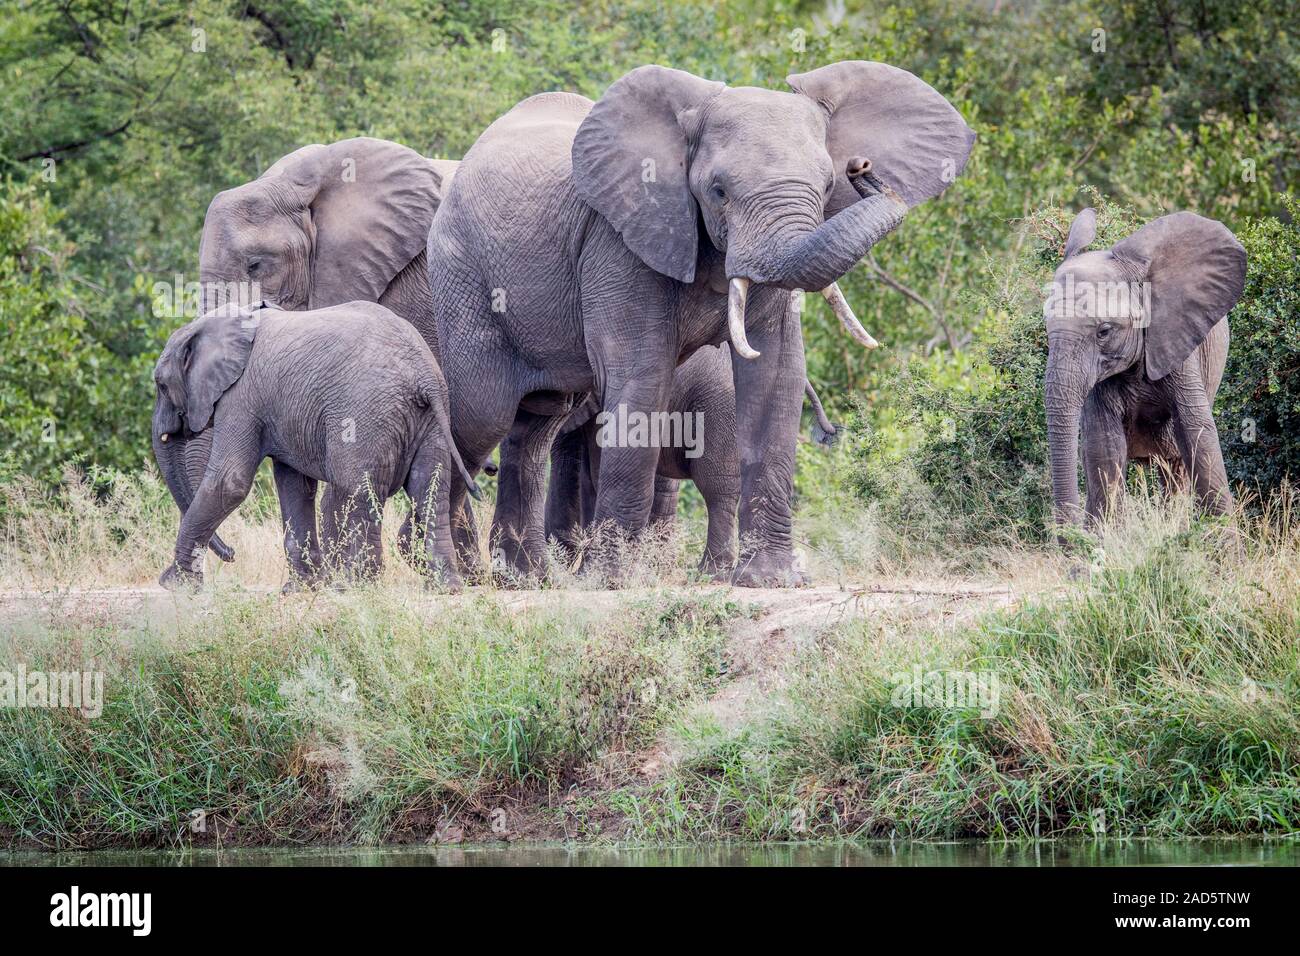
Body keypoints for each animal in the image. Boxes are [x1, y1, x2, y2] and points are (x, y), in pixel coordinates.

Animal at [152, 301, 478, 590]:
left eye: (160, 385)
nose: (232, 555)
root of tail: (424, 376)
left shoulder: (242, 397)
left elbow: (229, 482)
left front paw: (173, 585)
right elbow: (295, 485)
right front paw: (300, 590)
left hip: (365, 414)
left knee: (356, 488)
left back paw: (355, 587)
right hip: (432, 420)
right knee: (430, 486)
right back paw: (445, 587)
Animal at [1043, 208, 1246, 532]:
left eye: (1104, 332)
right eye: (1046, 329)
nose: (1071, 537)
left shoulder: (1177, 340)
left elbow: (1198, 435)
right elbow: (1103, 447)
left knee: (1176, 467)